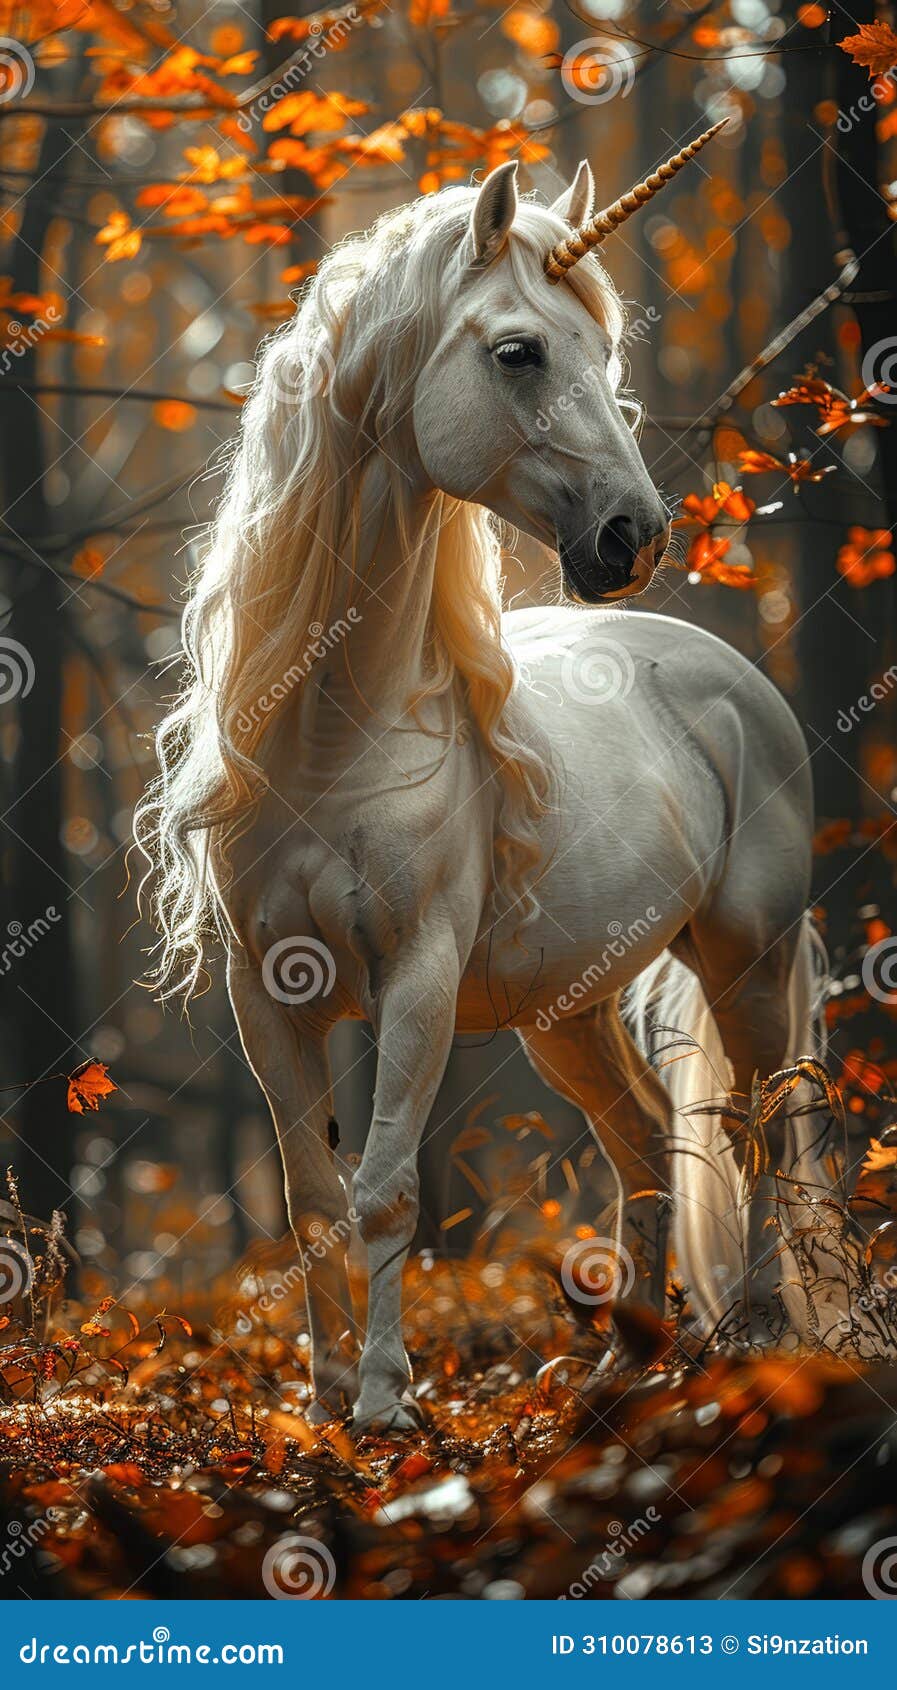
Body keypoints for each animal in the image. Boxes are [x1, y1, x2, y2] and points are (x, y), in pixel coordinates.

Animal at [137, 134, 852, 1430]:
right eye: (519, 352)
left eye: (603, 355)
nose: (634, 537)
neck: (335, 731)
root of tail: (729, 678)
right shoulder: (268, 992)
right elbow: (313, 1197)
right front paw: (323, 1405)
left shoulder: (416, 976)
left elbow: (381, 1191)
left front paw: (384, 1401)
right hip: (565, 1010)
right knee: (646, 1139)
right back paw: (625, 1364)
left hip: (749, 961)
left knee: (757, 1133)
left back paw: (756, 1332)